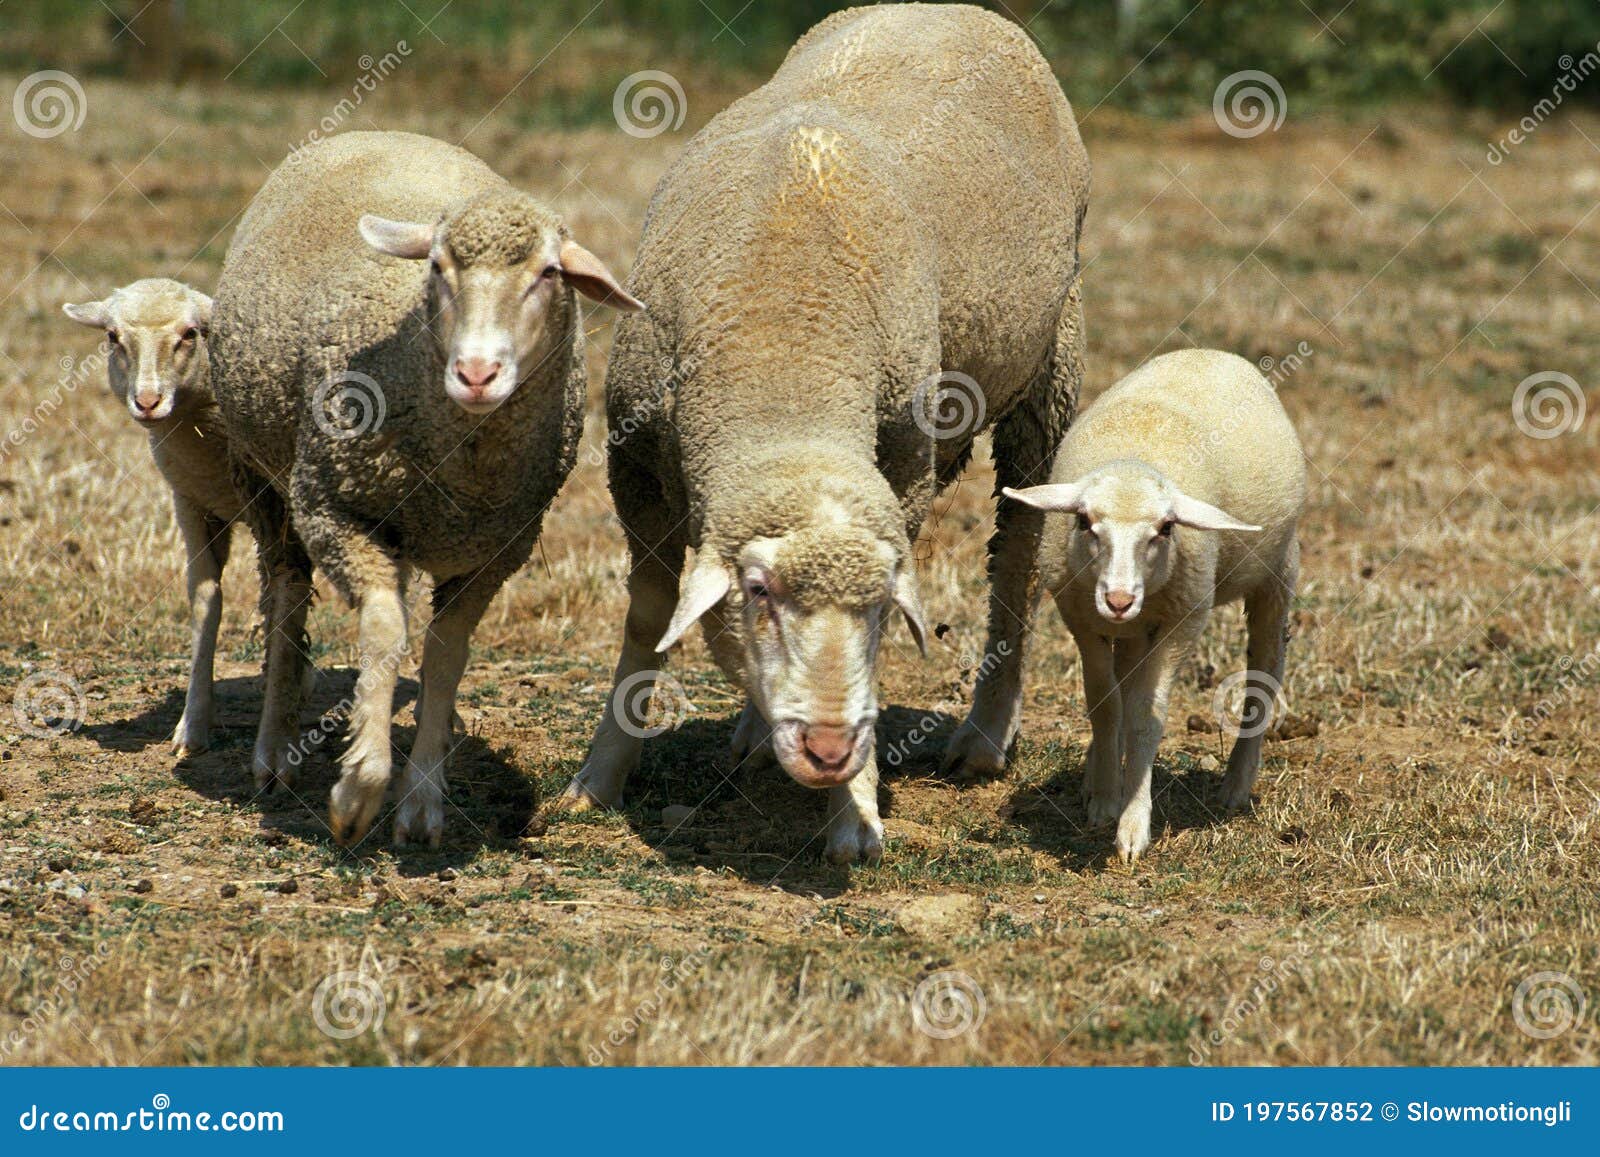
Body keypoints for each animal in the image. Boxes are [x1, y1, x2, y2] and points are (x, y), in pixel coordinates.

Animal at [63, 278, 249, 757]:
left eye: (191, 333)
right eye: (113, 336)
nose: (148, 402)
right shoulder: (191, 503)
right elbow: (205, 602)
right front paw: (193, 726)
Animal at [210, 130, 642, 848]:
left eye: (549, 274)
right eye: (437, 267)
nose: (476, 372)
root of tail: (374, 132)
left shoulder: (496, 552)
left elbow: (444, 656)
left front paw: (421, 799)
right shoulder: (337, 510)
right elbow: (385, 630)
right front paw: (359, 788)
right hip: (268, 481)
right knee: (287, 599)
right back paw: (273, 750)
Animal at [561, 3, 1089, 865]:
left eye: (878, 609)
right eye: (757, 591)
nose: (830, 749)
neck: (785, 360)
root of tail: (955, 11)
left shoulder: (900, 476)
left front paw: (855, 810)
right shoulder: (634, 470)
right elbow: (646, 620)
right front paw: (597, 778)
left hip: (1051, 365)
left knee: (1016, 558)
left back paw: (984, 735)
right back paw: (752, 730)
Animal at [1003, 348, 1307, 862]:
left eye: (1165, 529)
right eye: (1083, 521)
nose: (1119, 599)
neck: (1135, 456)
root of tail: (1212, 353)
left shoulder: (1183, 620)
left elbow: (1146, 715)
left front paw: (1132, 824)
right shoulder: (1080, 616)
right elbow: (1106, 704)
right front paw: (1106, 796)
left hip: (1276, 572)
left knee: (1266, 670)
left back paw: (1235, 786)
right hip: (1134, 630)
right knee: (1123, 685)